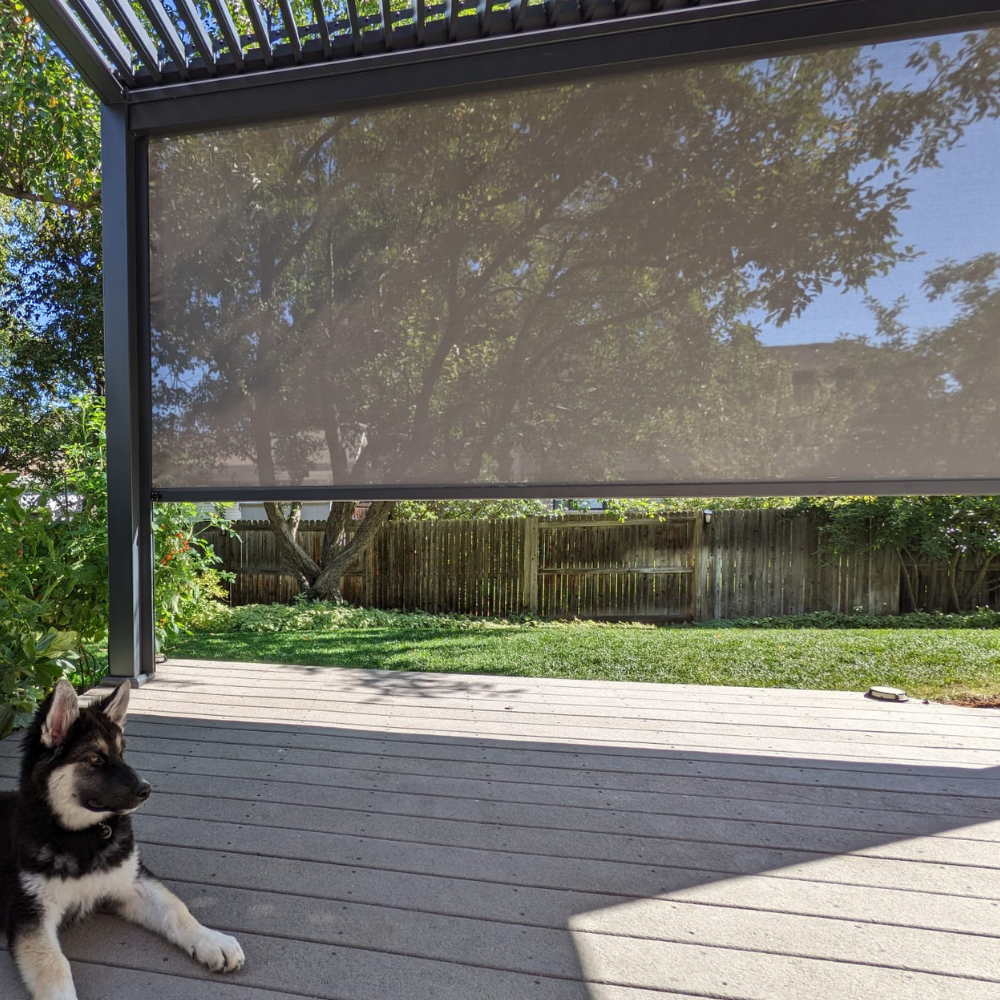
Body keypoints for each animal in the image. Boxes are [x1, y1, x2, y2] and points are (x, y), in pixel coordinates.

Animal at [0, 680, 245, 1000]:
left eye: (121, 753)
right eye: (94, 759)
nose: (146, 790)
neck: (83, 836)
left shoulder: (132, 880)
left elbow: (177, 910)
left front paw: (212, 941)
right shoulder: (30, 912)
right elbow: (53, 964)